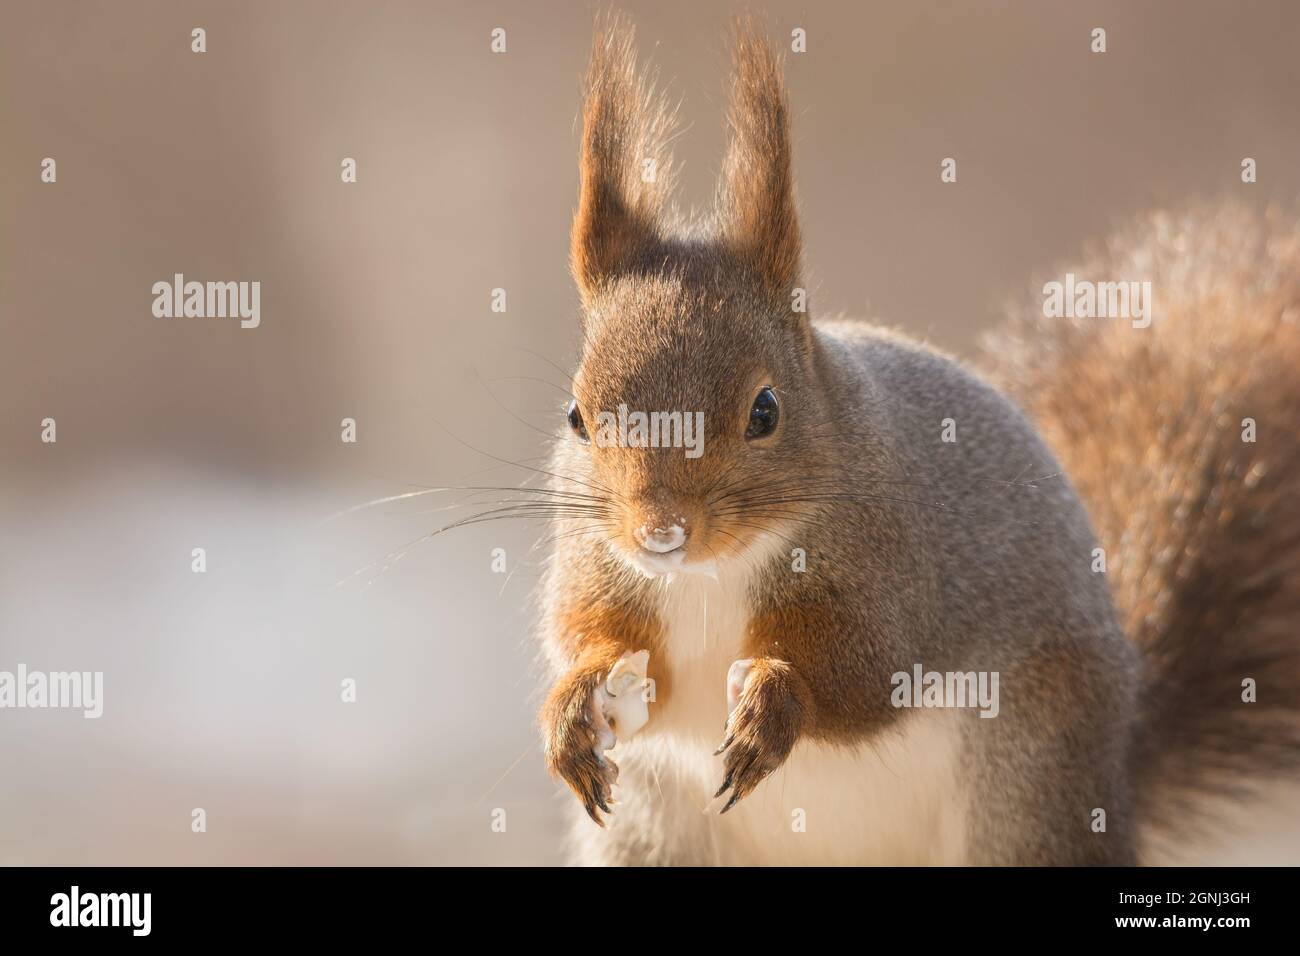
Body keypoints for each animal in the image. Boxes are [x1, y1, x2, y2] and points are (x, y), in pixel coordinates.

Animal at [536, 14, 1300, 865]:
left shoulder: (895, 571)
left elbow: (866, 678)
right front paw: (574, 710)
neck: (710, 578)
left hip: (1026, 787)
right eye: (576, 416)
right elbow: (598, 647)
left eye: (765, 411)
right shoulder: (600, 572)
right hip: (651, 830)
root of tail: (1122, 767)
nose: (660, 532)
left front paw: (773, 701)